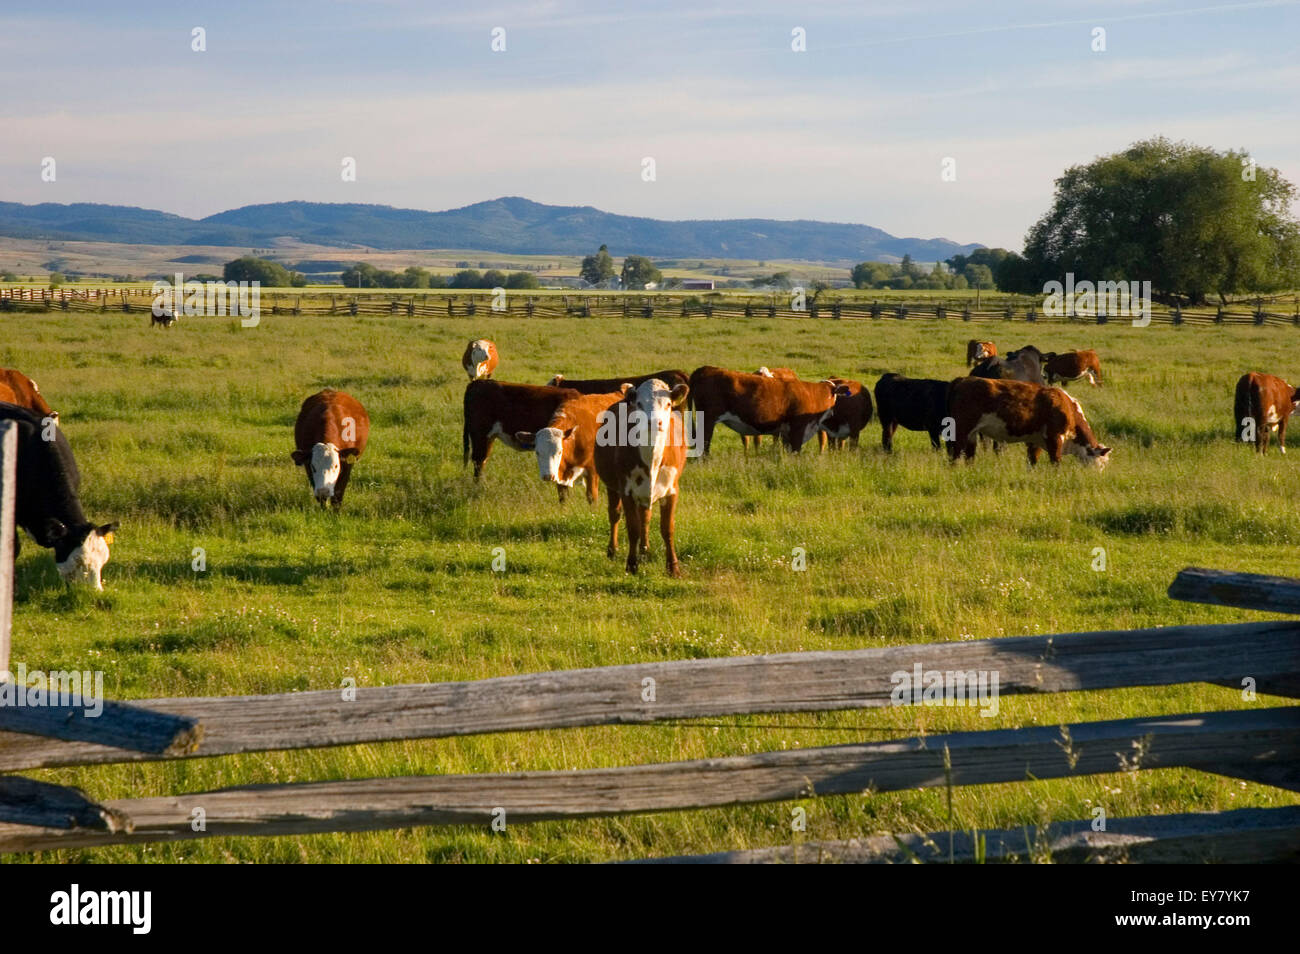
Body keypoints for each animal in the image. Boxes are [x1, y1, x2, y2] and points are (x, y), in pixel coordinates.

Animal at [593, 378, 690, 576]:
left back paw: (645, 551)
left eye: (668, 404)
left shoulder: (672, 490)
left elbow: (667, 528)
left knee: (645, 516)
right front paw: (631, 564)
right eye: (639, 403)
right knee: (614, 514)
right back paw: (612, 550)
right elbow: (633, 528)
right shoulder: (627, 490)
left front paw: (673, 567)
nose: (655, 422)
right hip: (613, 487)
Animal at [688, 366, 847, 455]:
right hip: (707, 421)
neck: (813, 394)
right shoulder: (798, 429)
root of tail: (705, 369)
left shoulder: (786, 433)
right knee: (704, 446)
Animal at [946, 377, 1111, 468]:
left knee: (969, 455)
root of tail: (964, 380)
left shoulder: (1035, 441)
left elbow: (1032, 461)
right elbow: (1056, 462)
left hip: (972, 434)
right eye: (1102, 463)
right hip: (961, 429)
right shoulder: (1055, 438)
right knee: (956, 453)